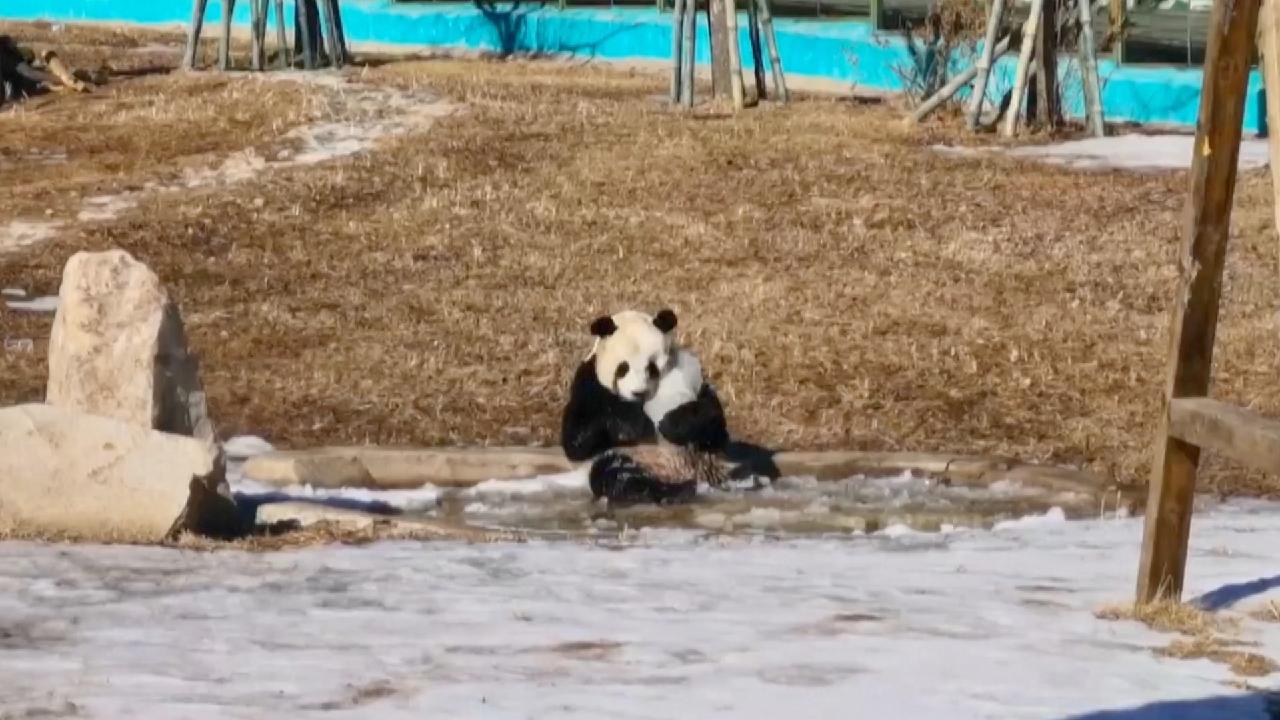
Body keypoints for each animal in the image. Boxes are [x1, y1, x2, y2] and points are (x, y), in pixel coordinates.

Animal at [559, 308, 732, 506]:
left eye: (651, 367)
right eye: (623, 368)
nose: (638, 392)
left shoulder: (693, 379)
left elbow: (713, 422)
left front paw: (670, 423)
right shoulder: (589, 383)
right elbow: (577, 440)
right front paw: (631, 425)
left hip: (702, 457)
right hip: (633, 456)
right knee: (614, 472)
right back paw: (671, 491)